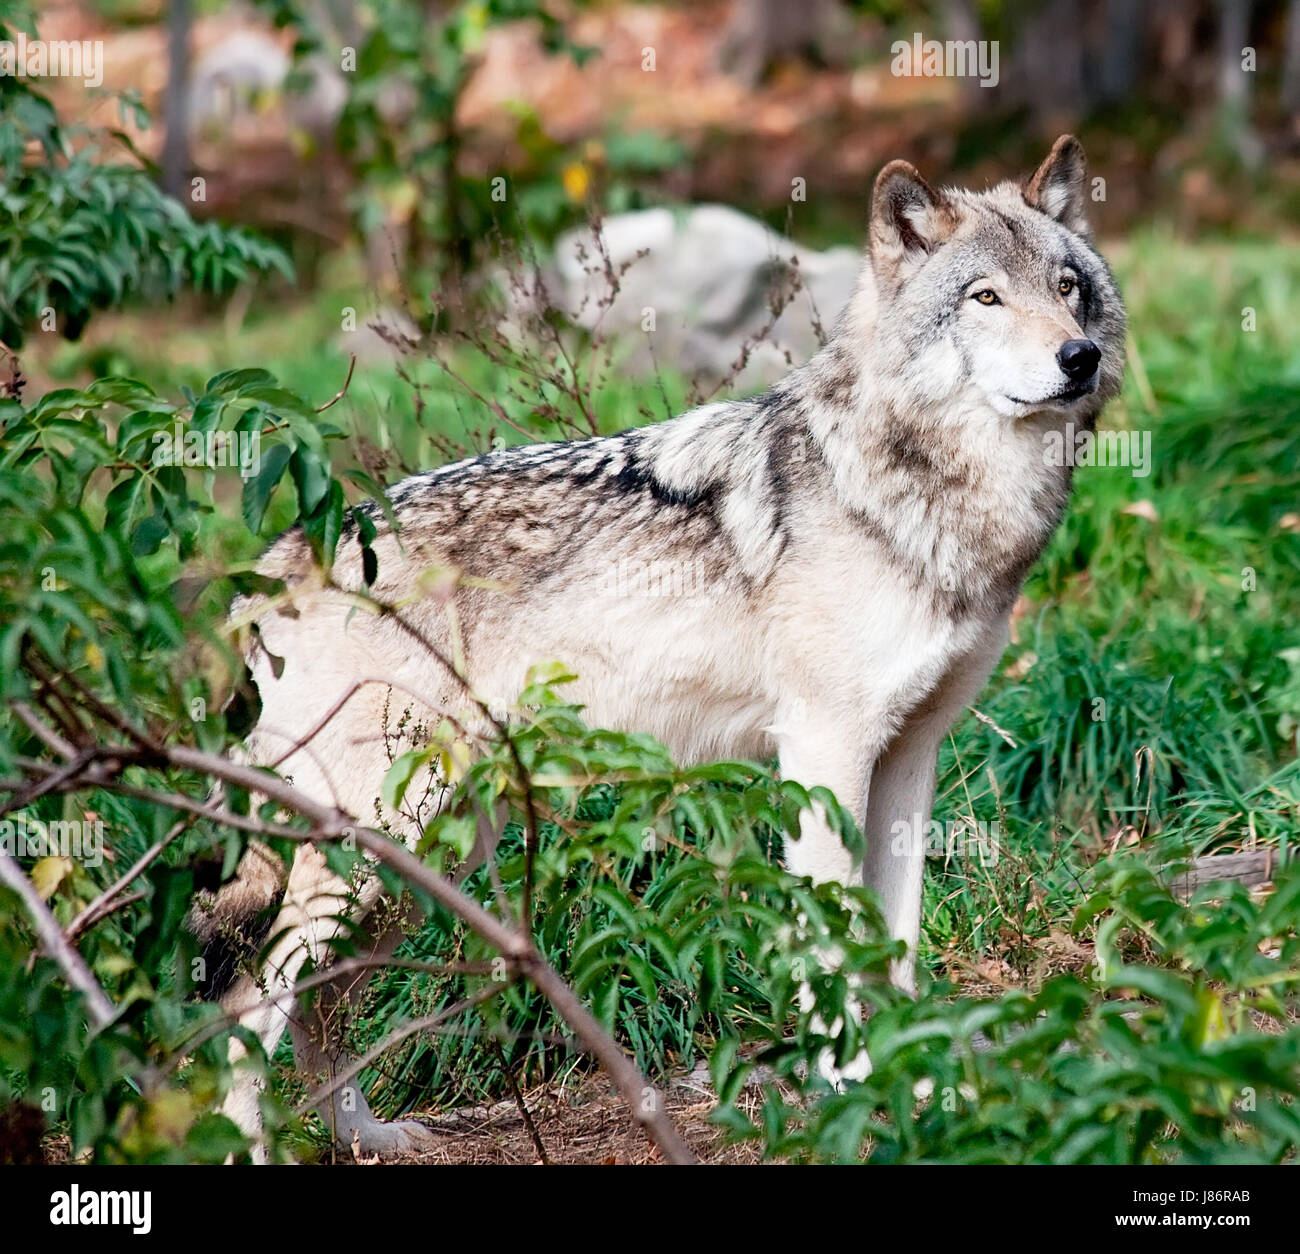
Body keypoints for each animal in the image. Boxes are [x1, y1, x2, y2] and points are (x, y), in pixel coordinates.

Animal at [197, 135, 1126, 1158]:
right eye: (985, 297)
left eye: (1068, 287)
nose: (1078, 357)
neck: (925, 500)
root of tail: (277, 557)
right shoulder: (824, 753)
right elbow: (837, 950)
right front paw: (851, 1090)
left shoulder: (909, 757)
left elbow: (899, 949)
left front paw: (917, 1090)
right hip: (376, 843)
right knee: (249, 1005)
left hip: (433, 853)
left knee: (318, 1009)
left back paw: (373, 1136)